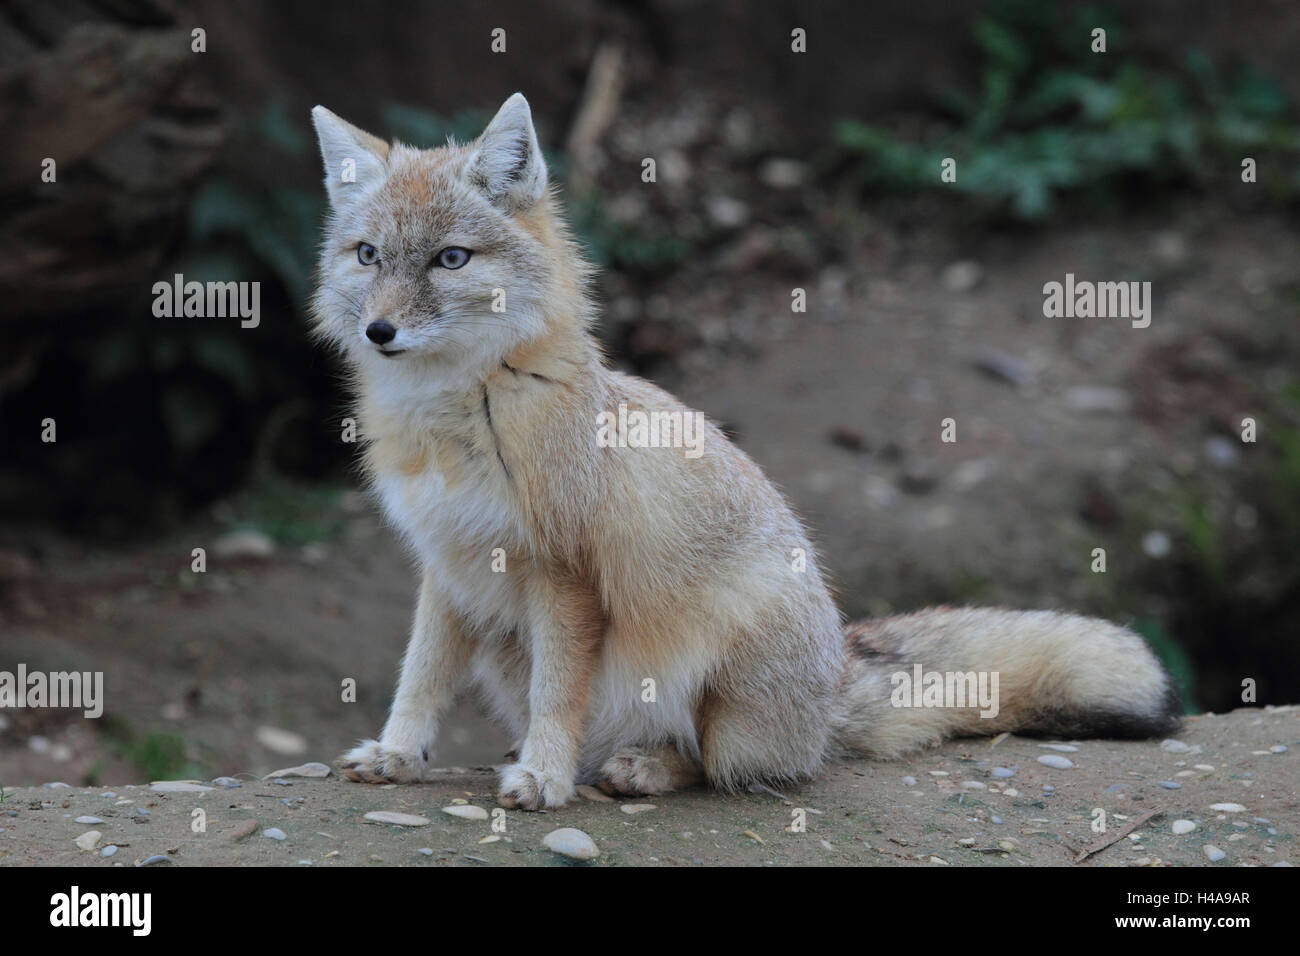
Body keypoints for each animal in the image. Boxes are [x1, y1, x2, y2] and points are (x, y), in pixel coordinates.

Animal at [310, 93, 1180, 810]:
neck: (455, 425)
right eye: (368, 255)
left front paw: (545, 777)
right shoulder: (447, 563)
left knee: (727, 764)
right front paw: (397, 754)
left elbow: (558, 693)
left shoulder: (563, 572)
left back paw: (642, 766)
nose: (379, 331)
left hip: (717, 659)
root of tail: (834, 683)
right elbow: (420, 678)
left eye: (450, 259)